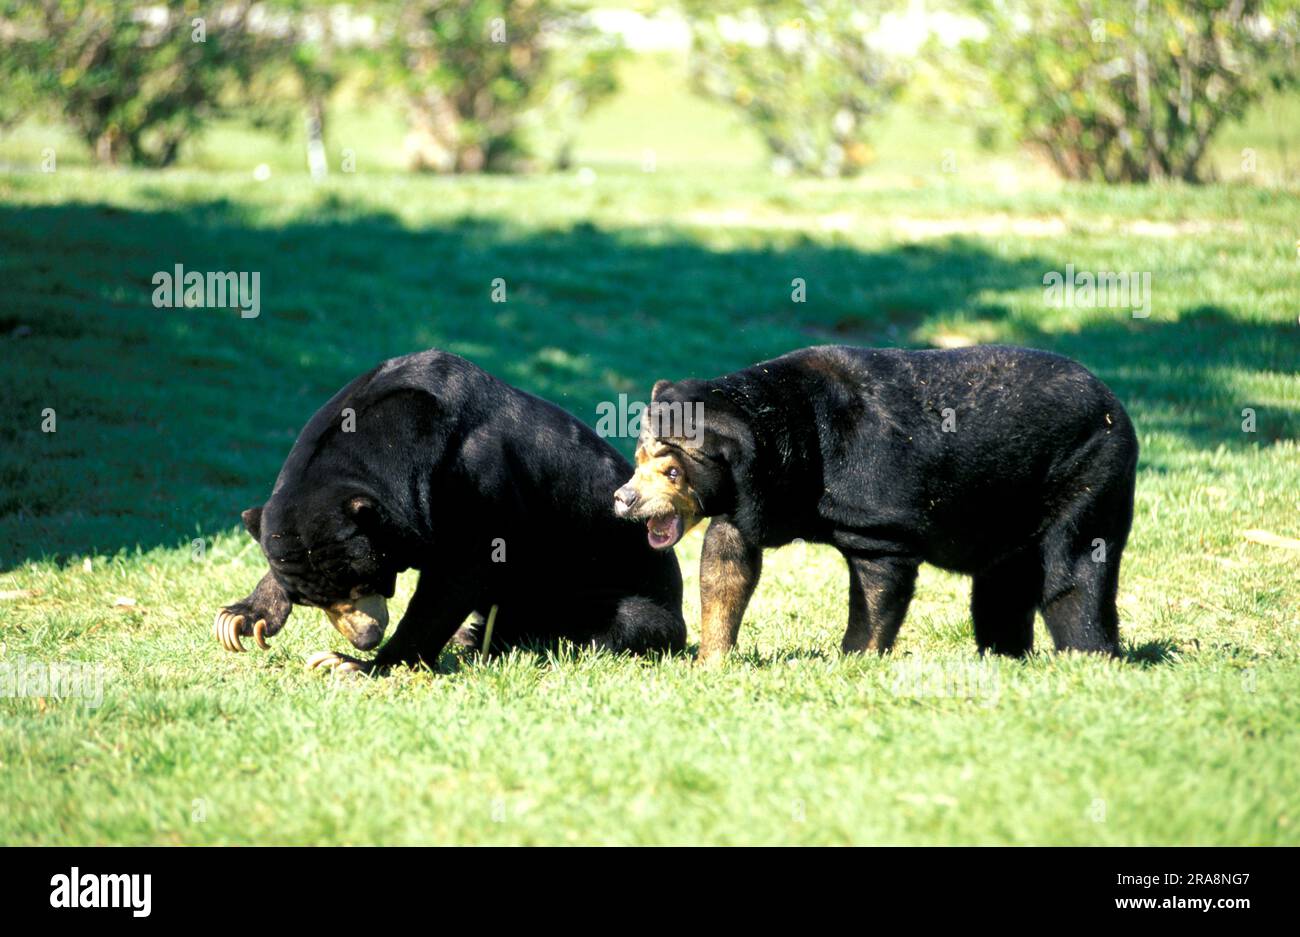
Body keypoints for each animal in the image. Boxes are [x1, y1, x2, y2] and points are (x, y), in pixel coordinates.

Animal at [214, 349, 685, 673]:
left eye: (362, 582)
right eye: (315, 602)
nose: (366, 637)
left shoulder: (476, 478)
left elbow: (459, 575)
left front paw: (355, 665)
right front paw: (239, 619)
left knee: (627, 620)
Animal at [613, 344, 1138, 661]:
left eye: (674, 470)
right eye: (638, 460)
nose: (623, 498)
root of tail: (1116, 404)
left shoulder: (879, 520)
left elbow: (875, 593)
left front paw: (854, 659)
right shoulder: (740, 505)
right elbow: (726, 569)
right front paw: (711, 663)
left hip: (1093, 475)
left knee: (1075, 575)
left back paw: (1086, 658)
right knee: (1001, 586)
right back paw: (1002, 657)